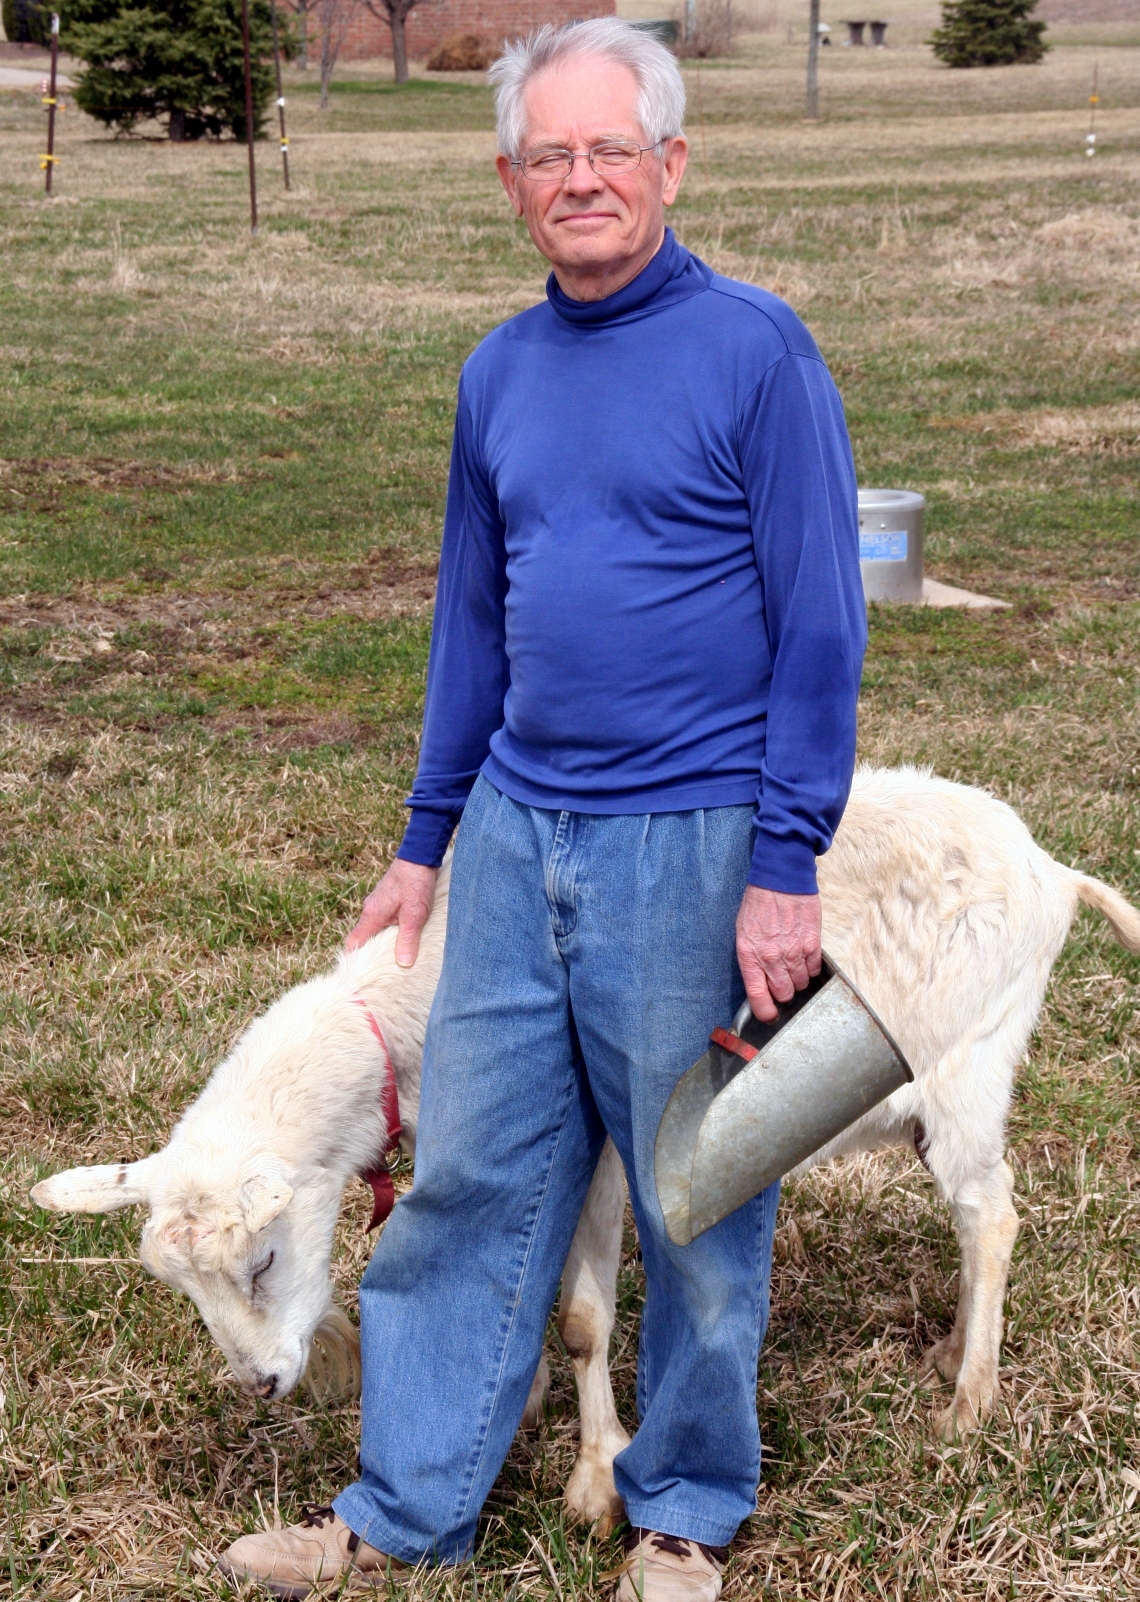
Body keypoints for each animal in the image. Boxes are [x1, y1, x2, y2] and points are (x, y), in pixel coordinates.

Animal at [31, 767, 1140, 1529]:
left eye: (261, 1261)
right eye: (183, 1288)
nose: (262, 1383)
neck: (409, 1015)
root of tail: (1055, 872)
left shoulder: (606, 1147)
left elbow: (578, 1318)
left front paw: (598, 1477)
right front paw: (512, 1412)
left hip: (965, 1066)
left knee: (992, 1217)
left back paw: (969, 1404)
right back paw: (954, 1352)